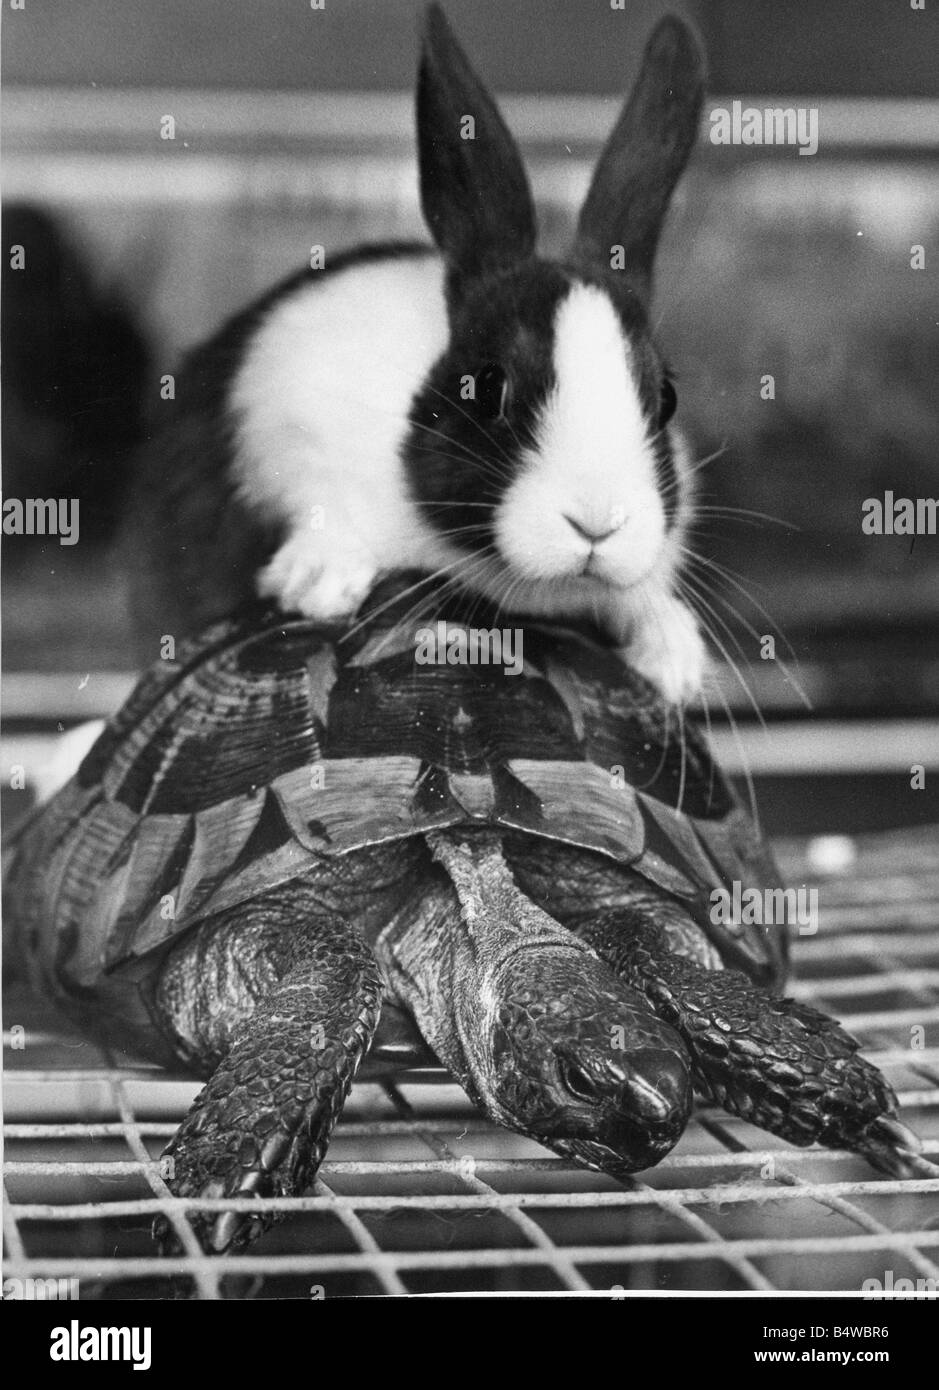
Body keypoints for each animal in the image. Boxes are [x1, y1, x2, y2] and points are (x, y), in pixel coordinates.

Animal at [128, 5, 707, 704]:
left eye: (666, 398)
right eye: (489, 386)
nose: (598, 524)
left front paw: (675, 656)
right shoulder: (282, 414)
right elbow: (312, 496)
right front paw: (321, 579)